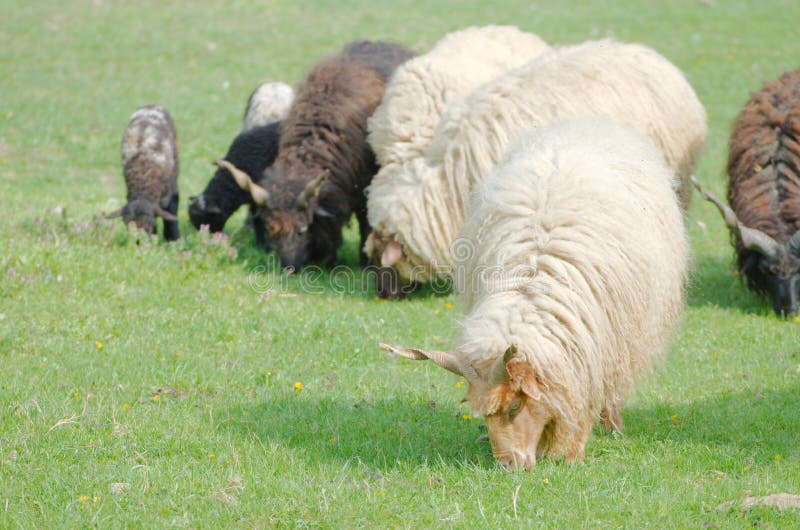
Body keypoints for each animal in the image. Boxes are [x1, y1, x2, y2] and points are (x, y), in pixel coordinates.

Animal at [107, 105, 180, 240]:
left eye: (150, 224)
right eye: (126, 225)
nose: (139, 242)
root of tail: (151, 105)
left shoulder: (170, 189)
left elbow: (171, 210)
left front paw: (173, 237)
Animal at [380, 117, 689, 470]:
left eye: (514, 407)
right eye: (482, 414)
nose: (508, 466)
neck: (530, 288)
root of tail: (584, 124)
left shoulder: (593, 352)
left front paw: (569, 453)